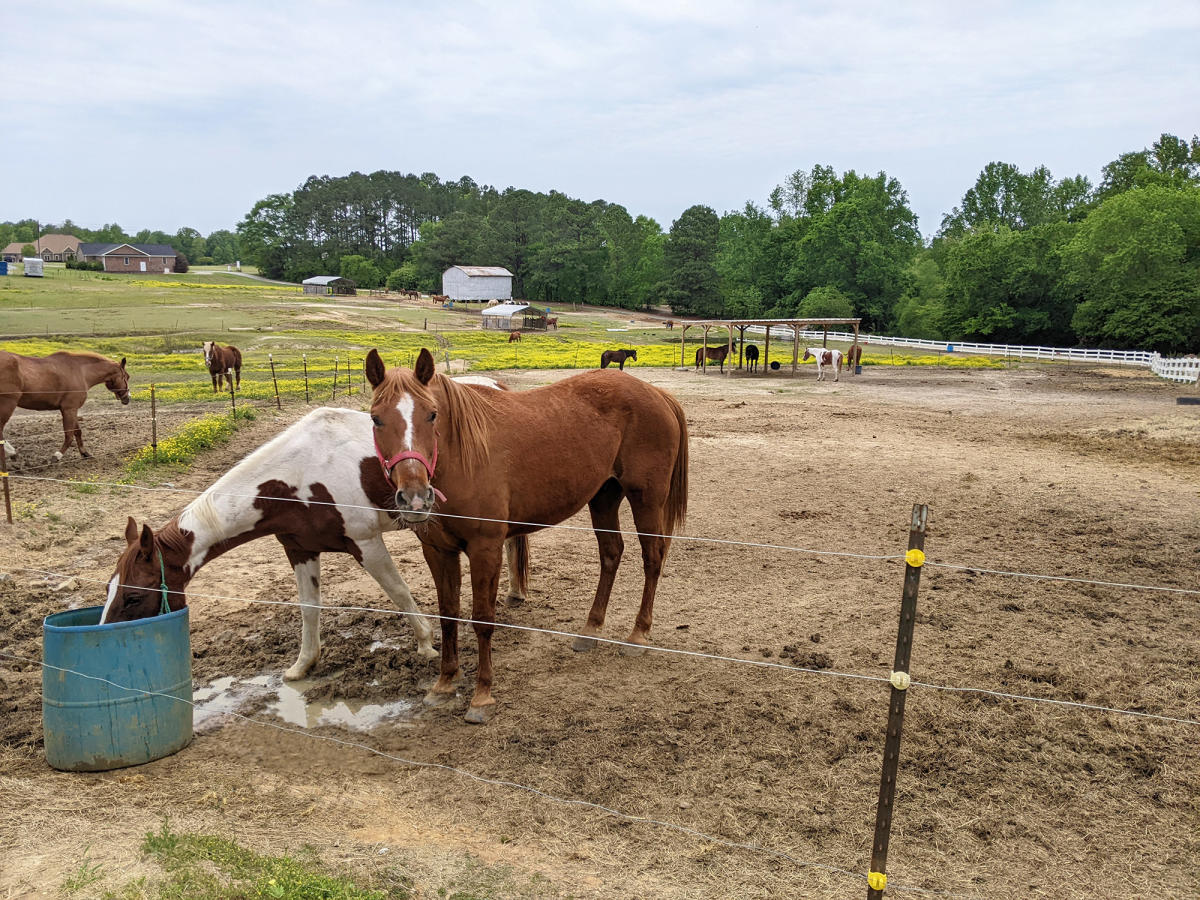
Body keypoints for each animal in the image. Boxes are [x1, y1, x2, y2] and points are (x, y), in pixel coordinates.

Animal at [0, 350, 130, 463]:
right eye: (126, 377)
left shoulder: (72, 409)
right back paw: (12, 452)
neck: (81, 372)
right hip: (8, 405)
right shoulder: (69, 409)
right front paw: (57, 456)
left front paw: (85, 453)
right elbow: (69, 435)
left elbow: (77, 432)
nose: (127, 398)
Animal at [101, 399, 532, 683]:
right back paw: (514, 592)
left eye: (134, 596)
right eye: (109, 588)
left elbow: (398, 591)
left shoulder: (366, 544)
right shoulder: (299, 549)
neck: (299, 476)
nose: (104, 634)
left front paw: (426, 644)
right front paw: (303, 664)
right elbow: (309, 608)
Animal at [365, 347, 688, 724]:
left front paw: (482, 695)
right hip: (604, 497)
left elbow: (482, 619)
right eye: (376, 419)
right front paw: (444, 683)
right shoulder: (437, 550)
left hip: (646, 499)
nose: (415, 497)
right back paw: (590, 629)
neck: (462, 455)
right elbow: (448, 615)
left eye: (432, 415)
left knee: (653, 557)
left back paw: (638, 635)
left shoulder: (486, 548)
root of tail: (658, 394)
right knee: (611, 553)